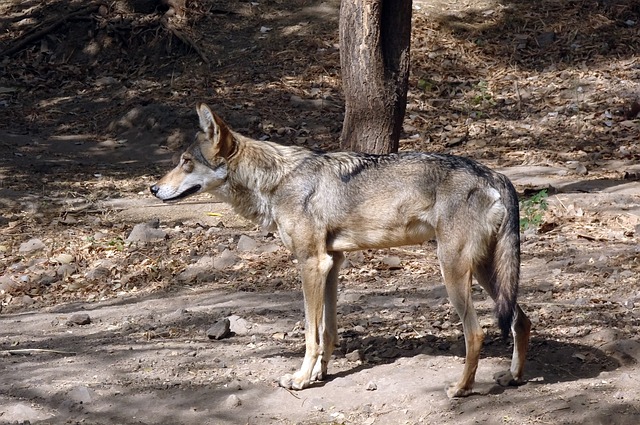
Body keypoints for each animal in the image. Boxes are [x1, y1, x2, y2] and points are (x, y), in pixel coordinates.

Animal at [150, 103, 531, 398]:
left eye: (185, 162)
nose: (153, 189)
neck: (276, 180)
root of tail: (496, 175)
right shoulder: (331, 263)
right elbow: (328, 330)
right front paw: (321, 373)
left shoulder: (311, 263)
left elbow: (310, 333)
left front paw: (301, 378)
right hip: (484, 272)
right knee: (520, 319)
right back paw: (512, 377)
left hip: (453, 270)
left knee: (477, 333)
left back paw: (460, 389)